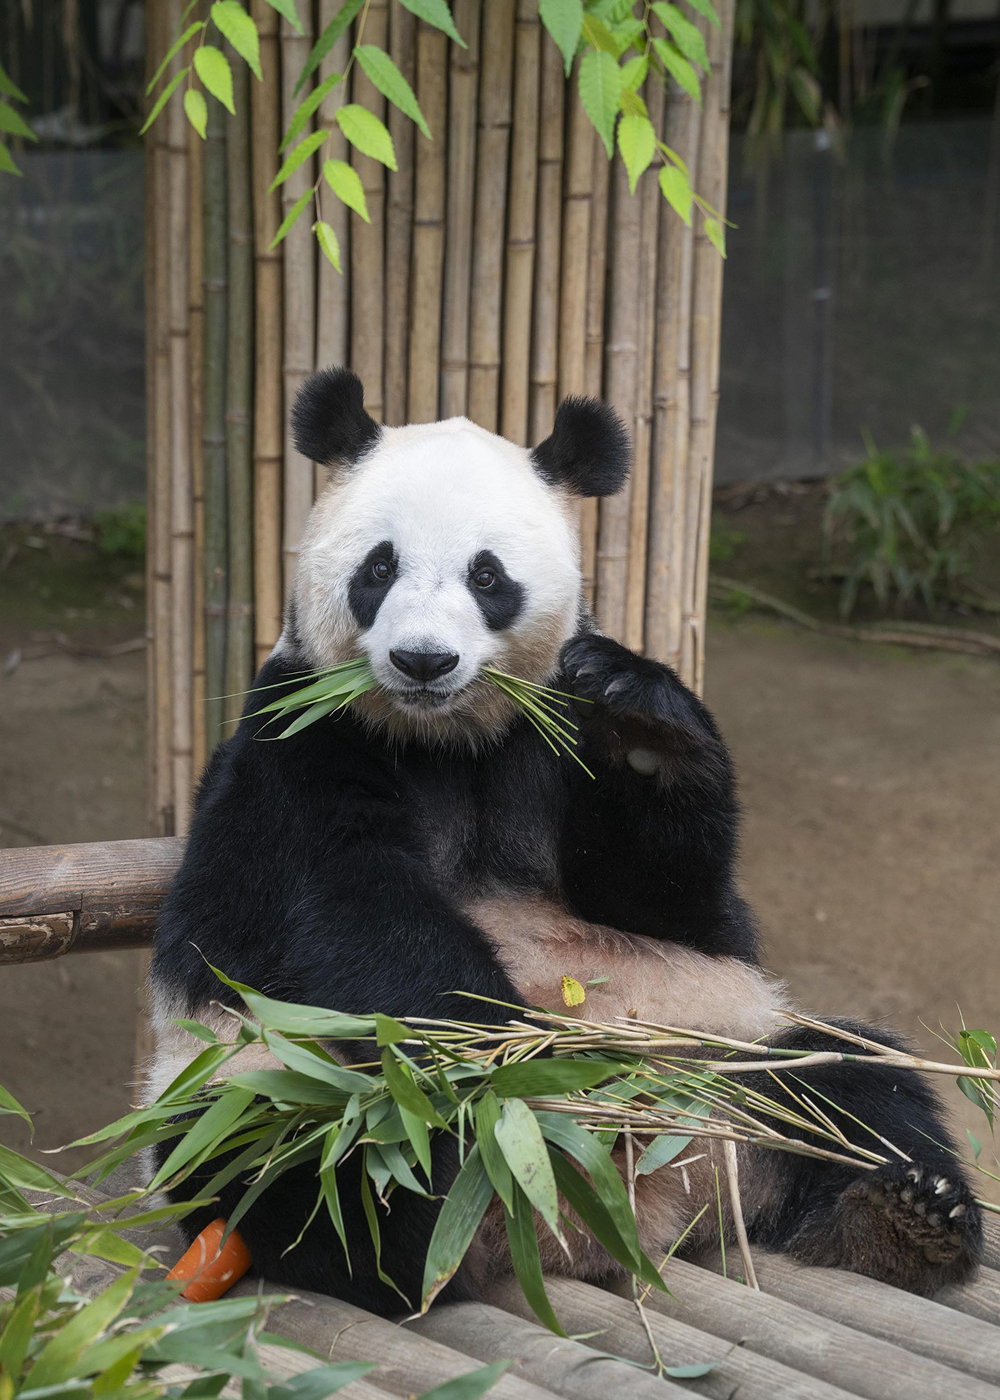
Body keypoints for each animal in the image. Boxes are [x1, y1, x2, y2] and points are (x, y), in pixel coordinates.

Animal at [149, 367, 982, 1314]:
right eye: (379, 567)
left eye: (486, 574)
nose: (424, 660)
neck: (447, 738)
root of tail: (603, 1222)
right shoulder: (302, 738)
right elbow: (353, 907)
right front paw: (505, 1056)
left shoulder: (553, 739)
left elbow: (664, 899)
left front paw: (646, 728)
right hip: (254, 1080)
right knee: (298, 1160)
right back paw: (433, 1193)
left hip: (728, 1055)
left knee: (847, 1081)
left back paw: (903, 1216)